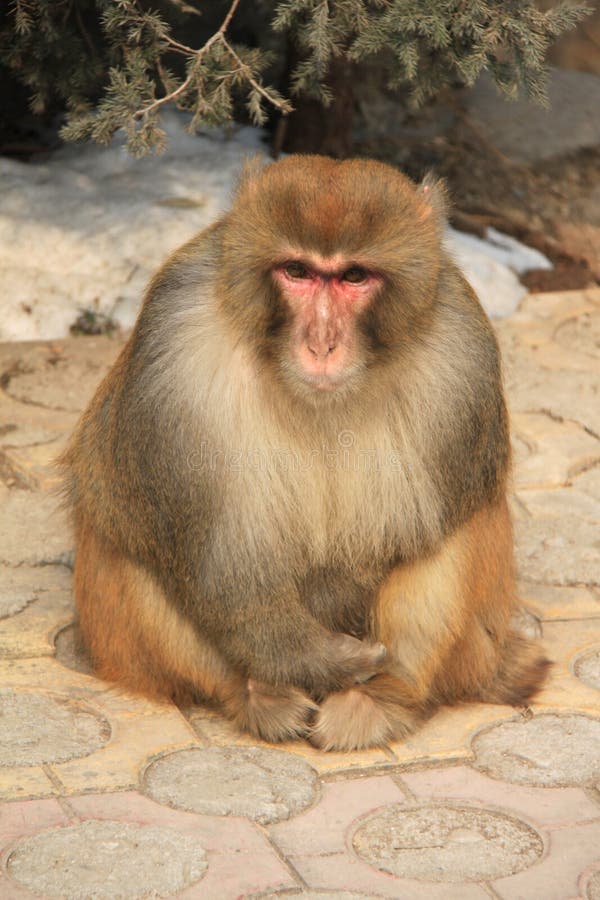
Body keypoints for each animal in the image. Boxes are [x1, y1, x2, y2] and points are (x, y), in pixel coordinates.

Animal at [60, 155, 550, 751]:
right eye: (297, 271)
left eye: (353, 277)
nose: (321, 342)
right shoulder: (172, 343)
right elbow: (220, 562)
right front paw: (325, 661)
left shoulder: (463, 353)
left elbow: (412, 535)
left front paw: (358, 676)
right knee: (137, 546)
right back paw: (255, 695)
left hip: (476, 648)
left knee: (451, 531)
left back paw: (380, 700)